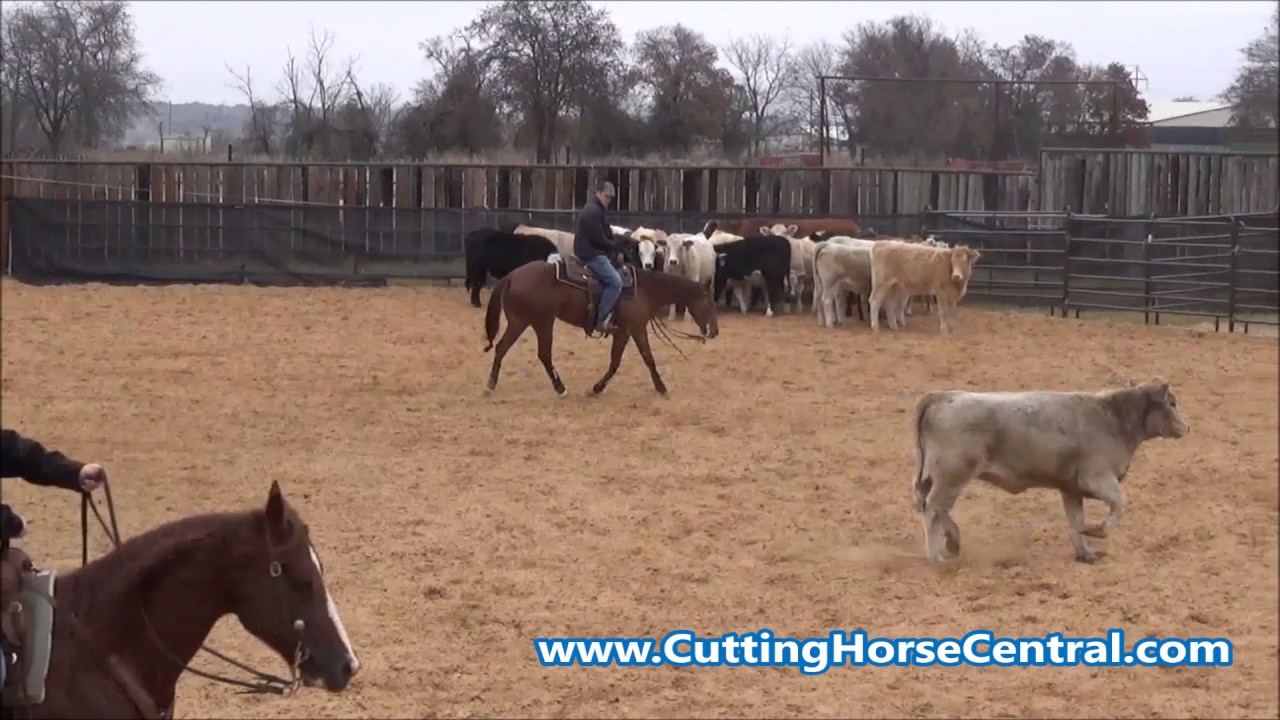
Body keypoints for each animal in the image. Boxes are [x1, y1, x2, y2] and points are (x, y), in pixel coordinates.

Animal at [480, 252, 718, 397]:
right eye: (709, 304)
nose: (715, 332)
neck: (645, 289)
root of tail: (512, 275)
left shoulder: (635, 330)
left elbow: (645, 359)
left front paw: (660, 387)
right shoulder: (626, 331)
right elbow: (619, 362)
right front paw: (597, 387)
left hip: (523, 322)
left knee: (502, 348)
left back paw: (491, 384)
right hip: (540, 322)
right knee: (542, 354)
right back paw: (559, 388)